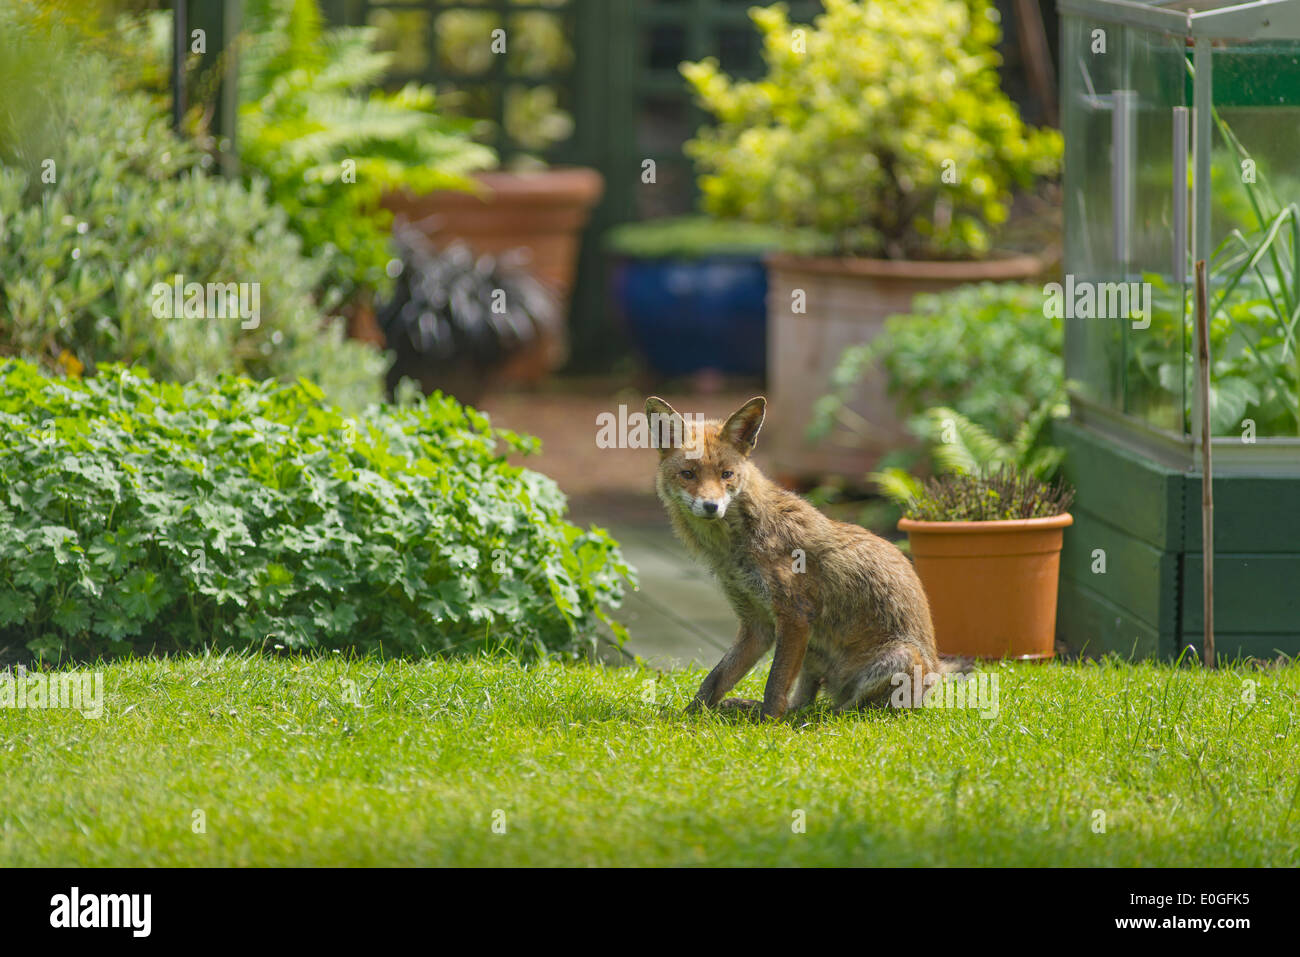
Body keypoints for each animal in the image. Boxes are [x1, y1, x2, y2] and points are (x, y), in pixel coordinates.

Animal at [646, 394, 944, 721]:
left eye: (727, 475)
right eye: (688, 474)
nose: (711, 506)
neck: (734, 549)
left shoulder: (794, 616)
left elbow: (774, 684)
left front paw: (766, 726)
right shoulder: (756, 625)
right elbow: (716, 679)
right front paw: (687, 717)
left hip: (898, 658)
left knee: (847, 711)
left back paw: (816, 721)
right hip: (813, 656)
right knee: (802, 703)